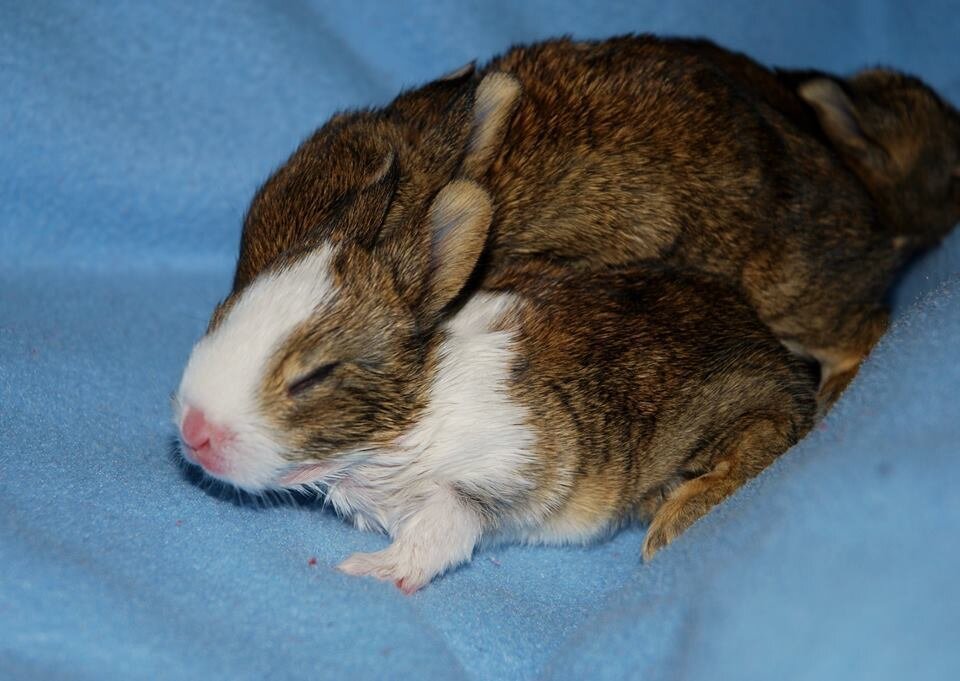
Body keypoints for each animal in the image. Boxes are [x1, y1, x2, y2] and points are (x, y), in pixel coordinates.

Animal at [174, 180, 817, 592]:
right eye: (221, 313)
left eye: (315, 375)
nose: (193, 432)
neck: (415, 414)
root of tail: (778, 359)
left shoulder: (494, 477)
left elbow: (439, 534)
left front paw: (371, 571)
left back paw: (671, 524)